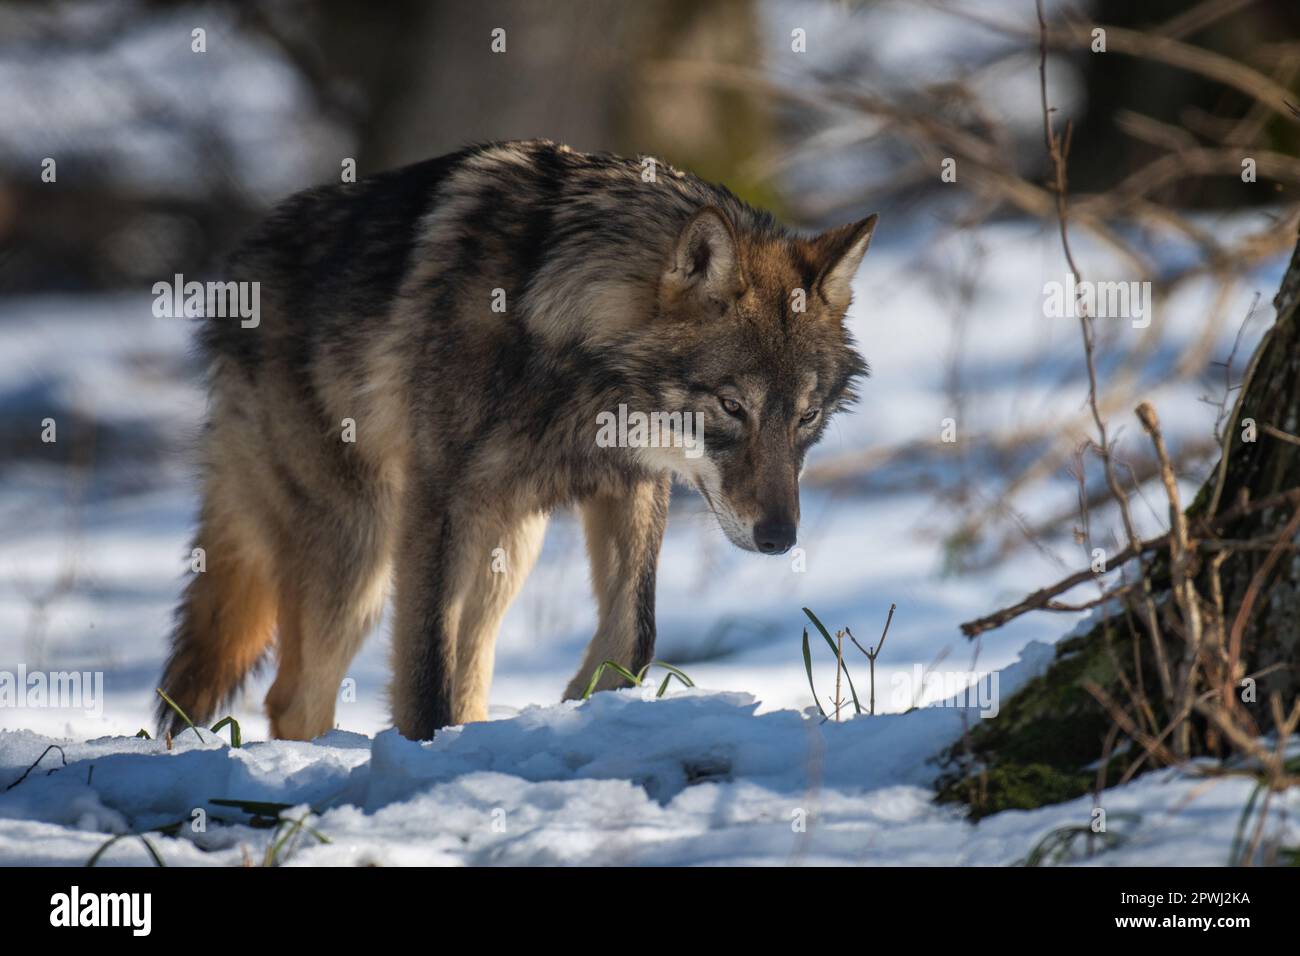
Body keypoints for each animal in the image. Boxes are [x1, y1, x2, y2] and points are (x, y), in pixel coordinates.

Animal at [157, 140, 876, 741]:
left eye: (807, 417)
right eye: (732, 406)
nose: (779, 539)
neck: (555, 318)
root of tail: (243, 266)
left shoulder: (632, 482)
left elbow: (635, 634)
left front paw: (585, 701)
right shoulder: (437, 505)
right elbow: (425, 677)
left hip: (508, 544)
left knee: (467, 677)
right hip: (361, 546)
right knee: (294, 700)